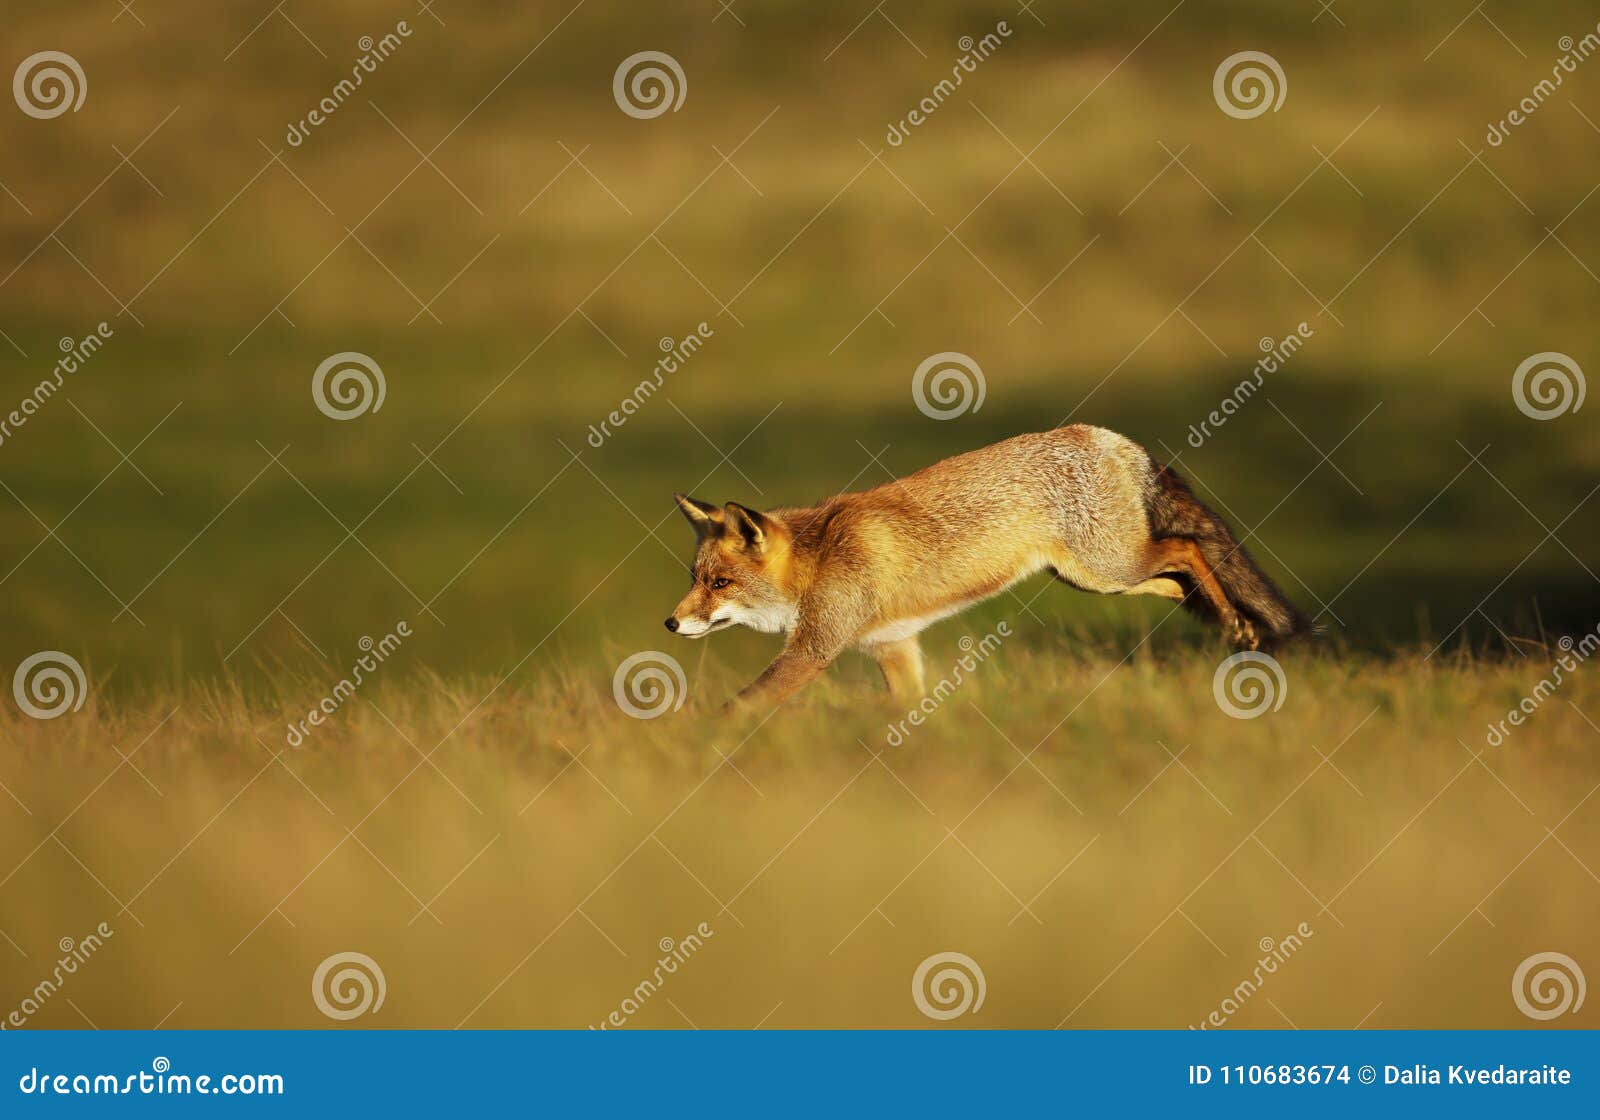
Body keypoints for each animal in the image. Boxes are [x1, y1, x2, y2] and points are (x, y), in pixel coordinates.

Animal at [666, 424, 1312, 709]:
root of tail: (1107, 435)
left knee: (1187, 550)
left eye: (721, 584)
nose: (670, 624)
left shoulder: (813, 649)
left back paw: (1237, 624)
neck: (817, 558)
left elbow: (741, 704)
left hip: (1110, 564)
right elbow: (908, 708)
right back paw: (1228, 619)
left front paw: (699, 737)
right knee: (1178, 583)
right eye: (695, 580)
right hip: (1095, 579)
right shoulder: (893, 648)